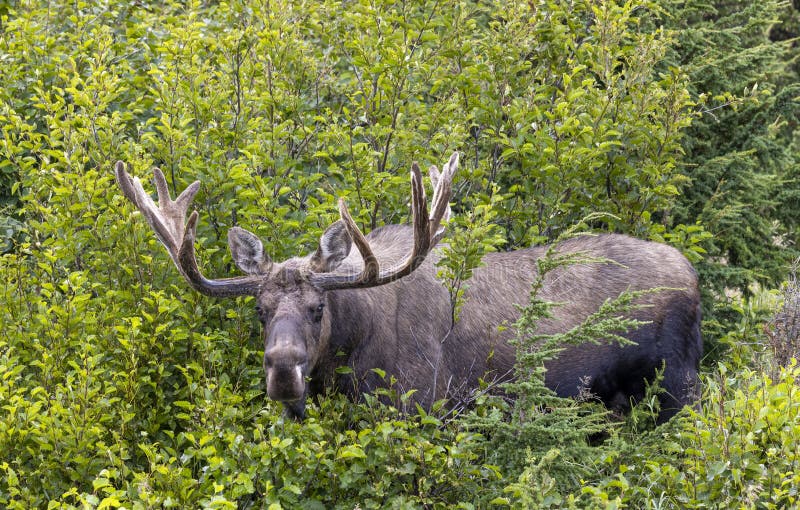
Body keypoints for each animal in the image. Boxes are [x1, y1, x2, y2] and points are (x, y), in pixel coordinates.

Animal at [115, 152, 701, 422]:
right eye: (259, 309)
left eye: (318, 306)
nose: (283, 372)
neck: (345, 363)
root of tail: (694, 277)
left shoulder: (421, 406)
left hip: (680, 387)